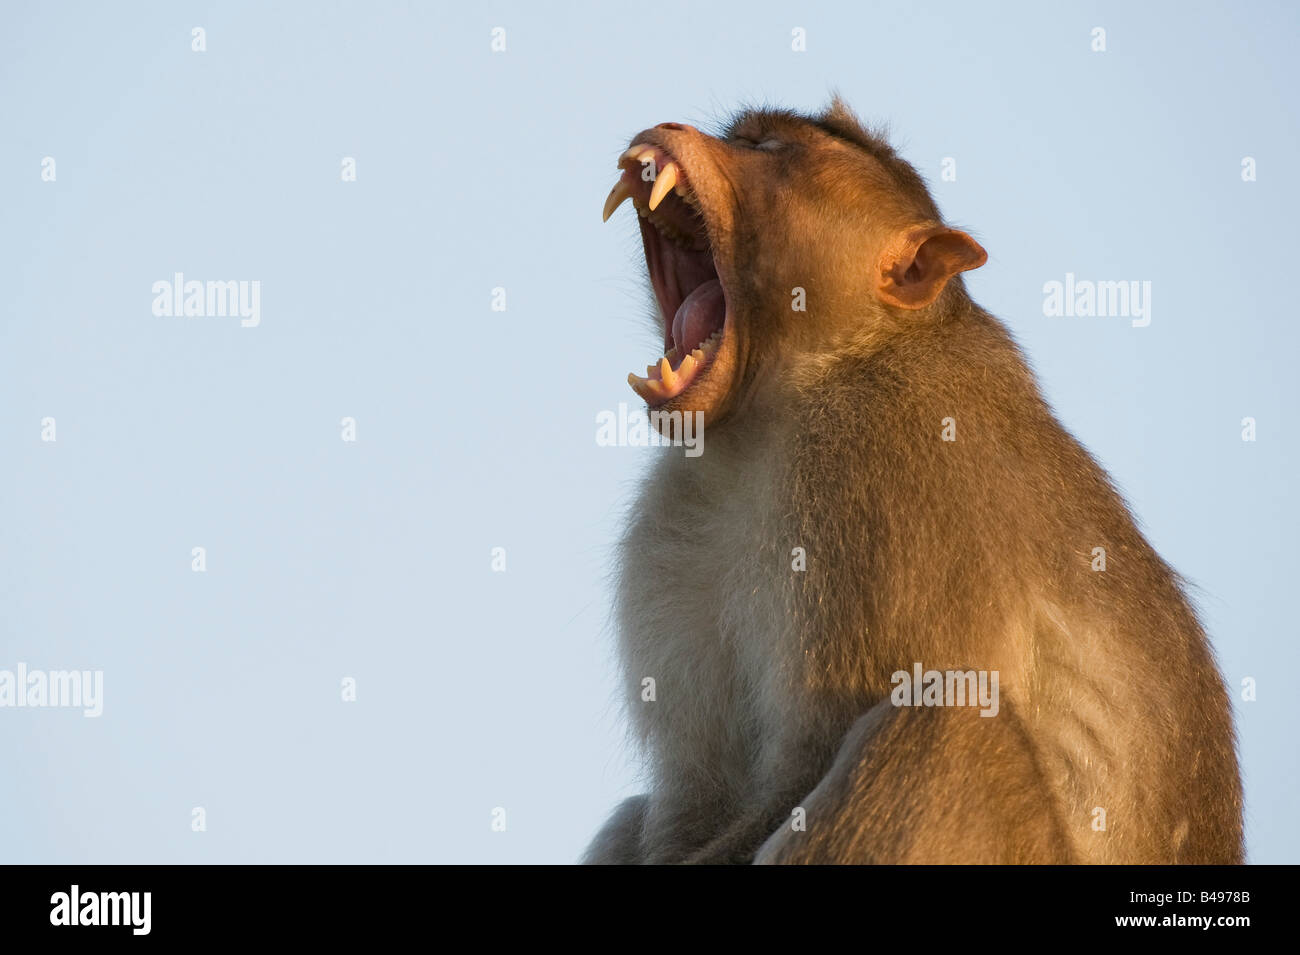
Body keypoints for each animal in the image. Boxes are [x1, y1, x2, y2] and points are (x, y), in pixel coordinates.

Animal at [586, 98, 1243, 865]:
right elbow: (691, 793)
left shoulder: (870, 469)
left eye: (772, 149)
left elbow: (817, 749)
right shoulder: (675, 510)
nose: (671, 131)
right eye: (747, 136)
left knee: (941, 718)